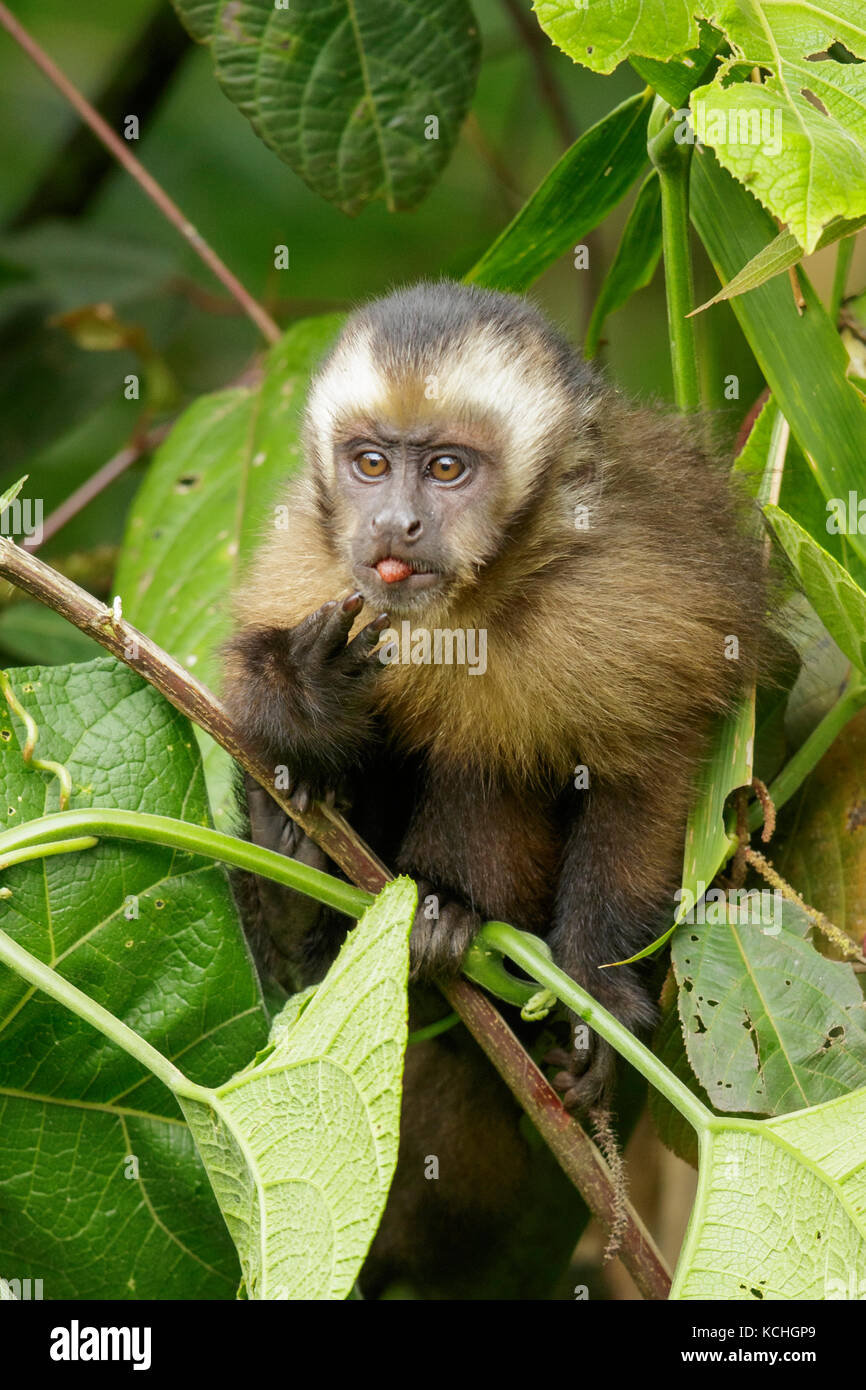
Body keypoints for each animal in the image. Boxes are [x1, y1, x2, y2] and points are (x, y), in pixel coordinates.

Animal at [221, 280, 772, 1297]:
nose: (395, 526)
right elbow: (261, 708)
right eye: (370, 464)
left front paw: (601, 1007)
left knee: (488, 755)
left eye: (446, 469)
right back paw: (299, 888)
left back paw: (447, 911)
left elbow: (648, 764)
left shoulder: (634, 582)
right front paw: (304, 704)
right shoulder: (313, 567)